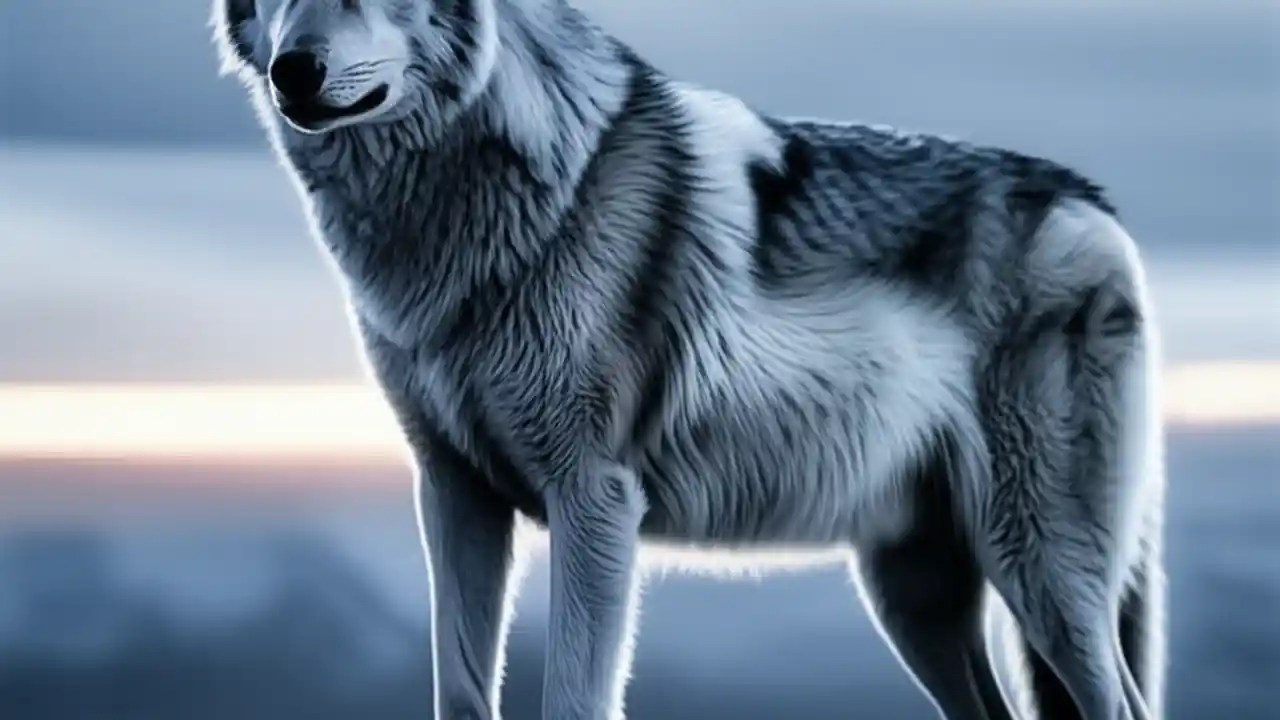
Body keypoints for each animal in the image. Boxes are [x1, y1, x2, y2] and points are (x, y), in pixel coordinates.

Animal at [212, 1, 1167, 718]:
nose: (293, 70)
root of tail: (1096, 205)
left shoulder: (594, 499)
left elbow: (573, 699)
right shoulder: (455, 491)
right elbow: (460, 689)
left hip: (1040, 572)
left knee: (1121, 701)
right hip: (916, 595)